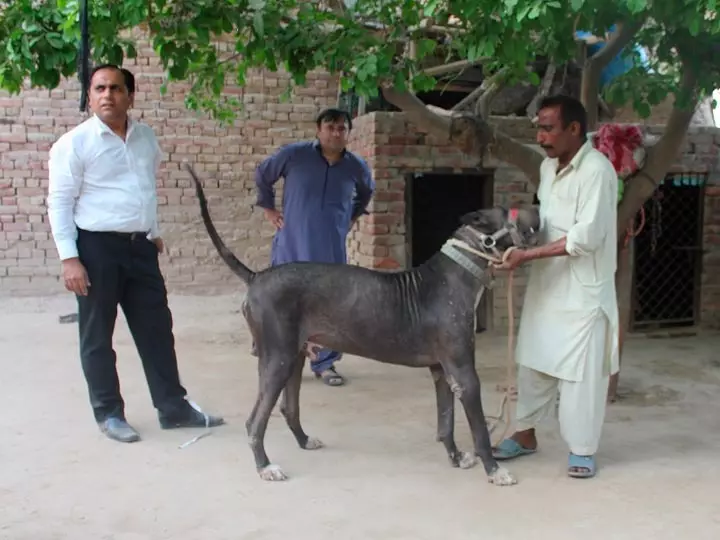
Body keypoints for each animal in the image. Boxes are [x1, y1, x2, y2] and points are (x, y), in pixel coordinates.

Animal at [186, 163, 540, 486]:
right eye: (508, 210)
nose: (538, 206)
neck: (458, 271)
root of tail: (256, 276)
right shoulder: (465, 374)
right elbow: (479, 429)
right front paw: (494, 470)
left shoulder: (442, 371)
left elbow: (446, 421)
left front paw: (455, 457)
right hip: (277, 358)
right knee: (255, 421)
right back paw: (264, 466)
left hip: (293, 355)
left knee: (289, 407)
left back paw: (304, 440)